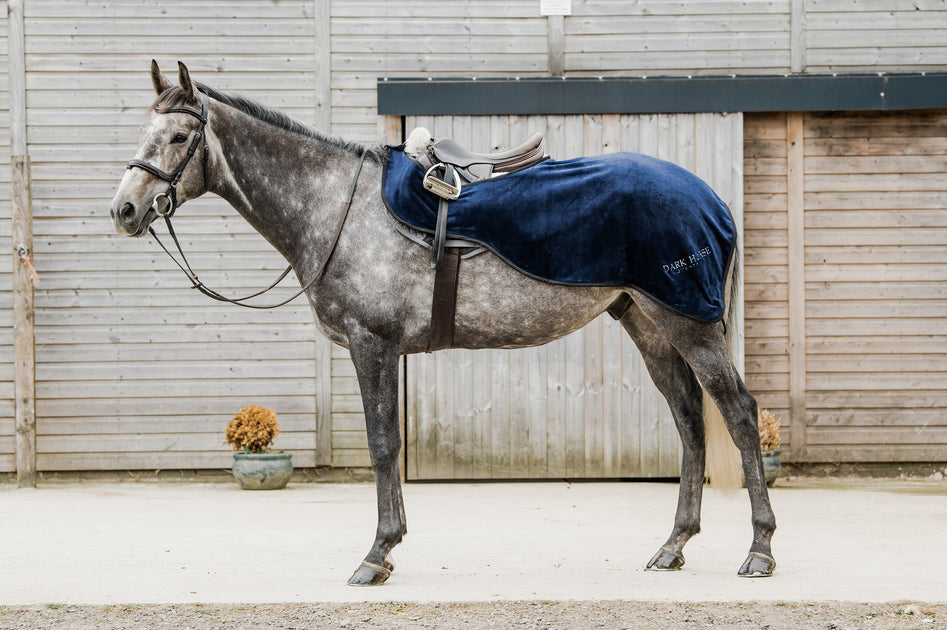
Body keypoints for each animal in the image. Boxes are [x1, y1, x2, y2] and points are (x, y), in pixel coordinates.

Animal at [109, 61, 776, 586]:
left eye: (178, 135)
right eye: (144, 131)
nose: (124, 210)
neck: (336, 207)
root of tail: (710, 199)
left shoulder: (372, 345)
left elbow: (382, 445)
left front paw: (377, 555)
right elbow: (388, 444)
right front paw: (388, 547)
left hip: (689, 325)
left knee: (739, 414)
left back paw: (760, 550)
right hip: (648, 323)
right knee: (689, 419)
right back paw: (673, 546)